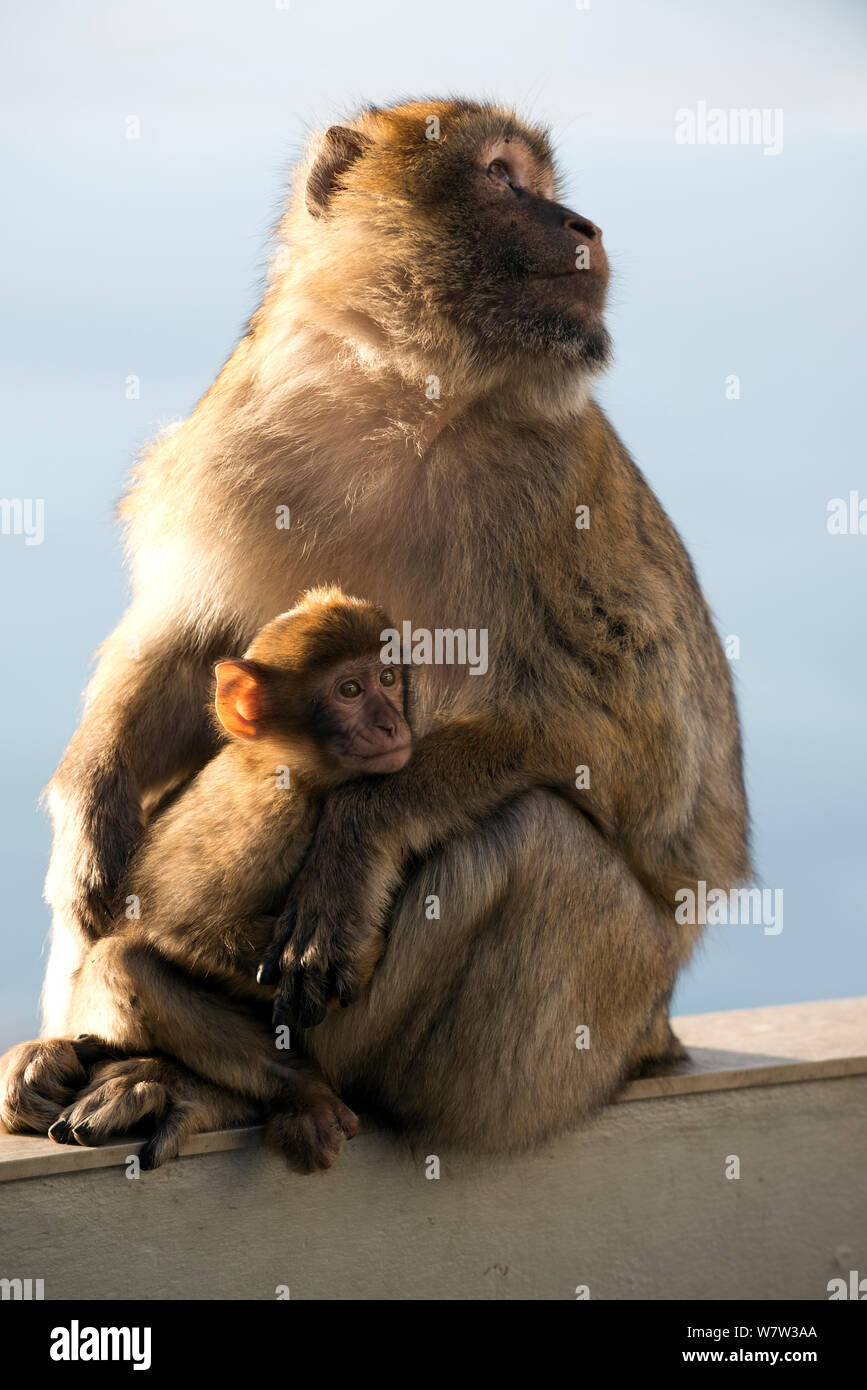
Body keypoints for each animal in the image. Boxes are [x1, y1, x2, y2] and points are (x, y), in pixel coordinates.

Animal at [36, 587, 411, 1170]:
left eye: (388, 678)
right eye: (350, 689)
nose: (391, 724)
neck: (287, 765)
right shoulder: (272, 820)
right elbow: (179, 929)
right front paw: (354, 951)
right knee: (122, 961)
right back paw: (298, 1087)